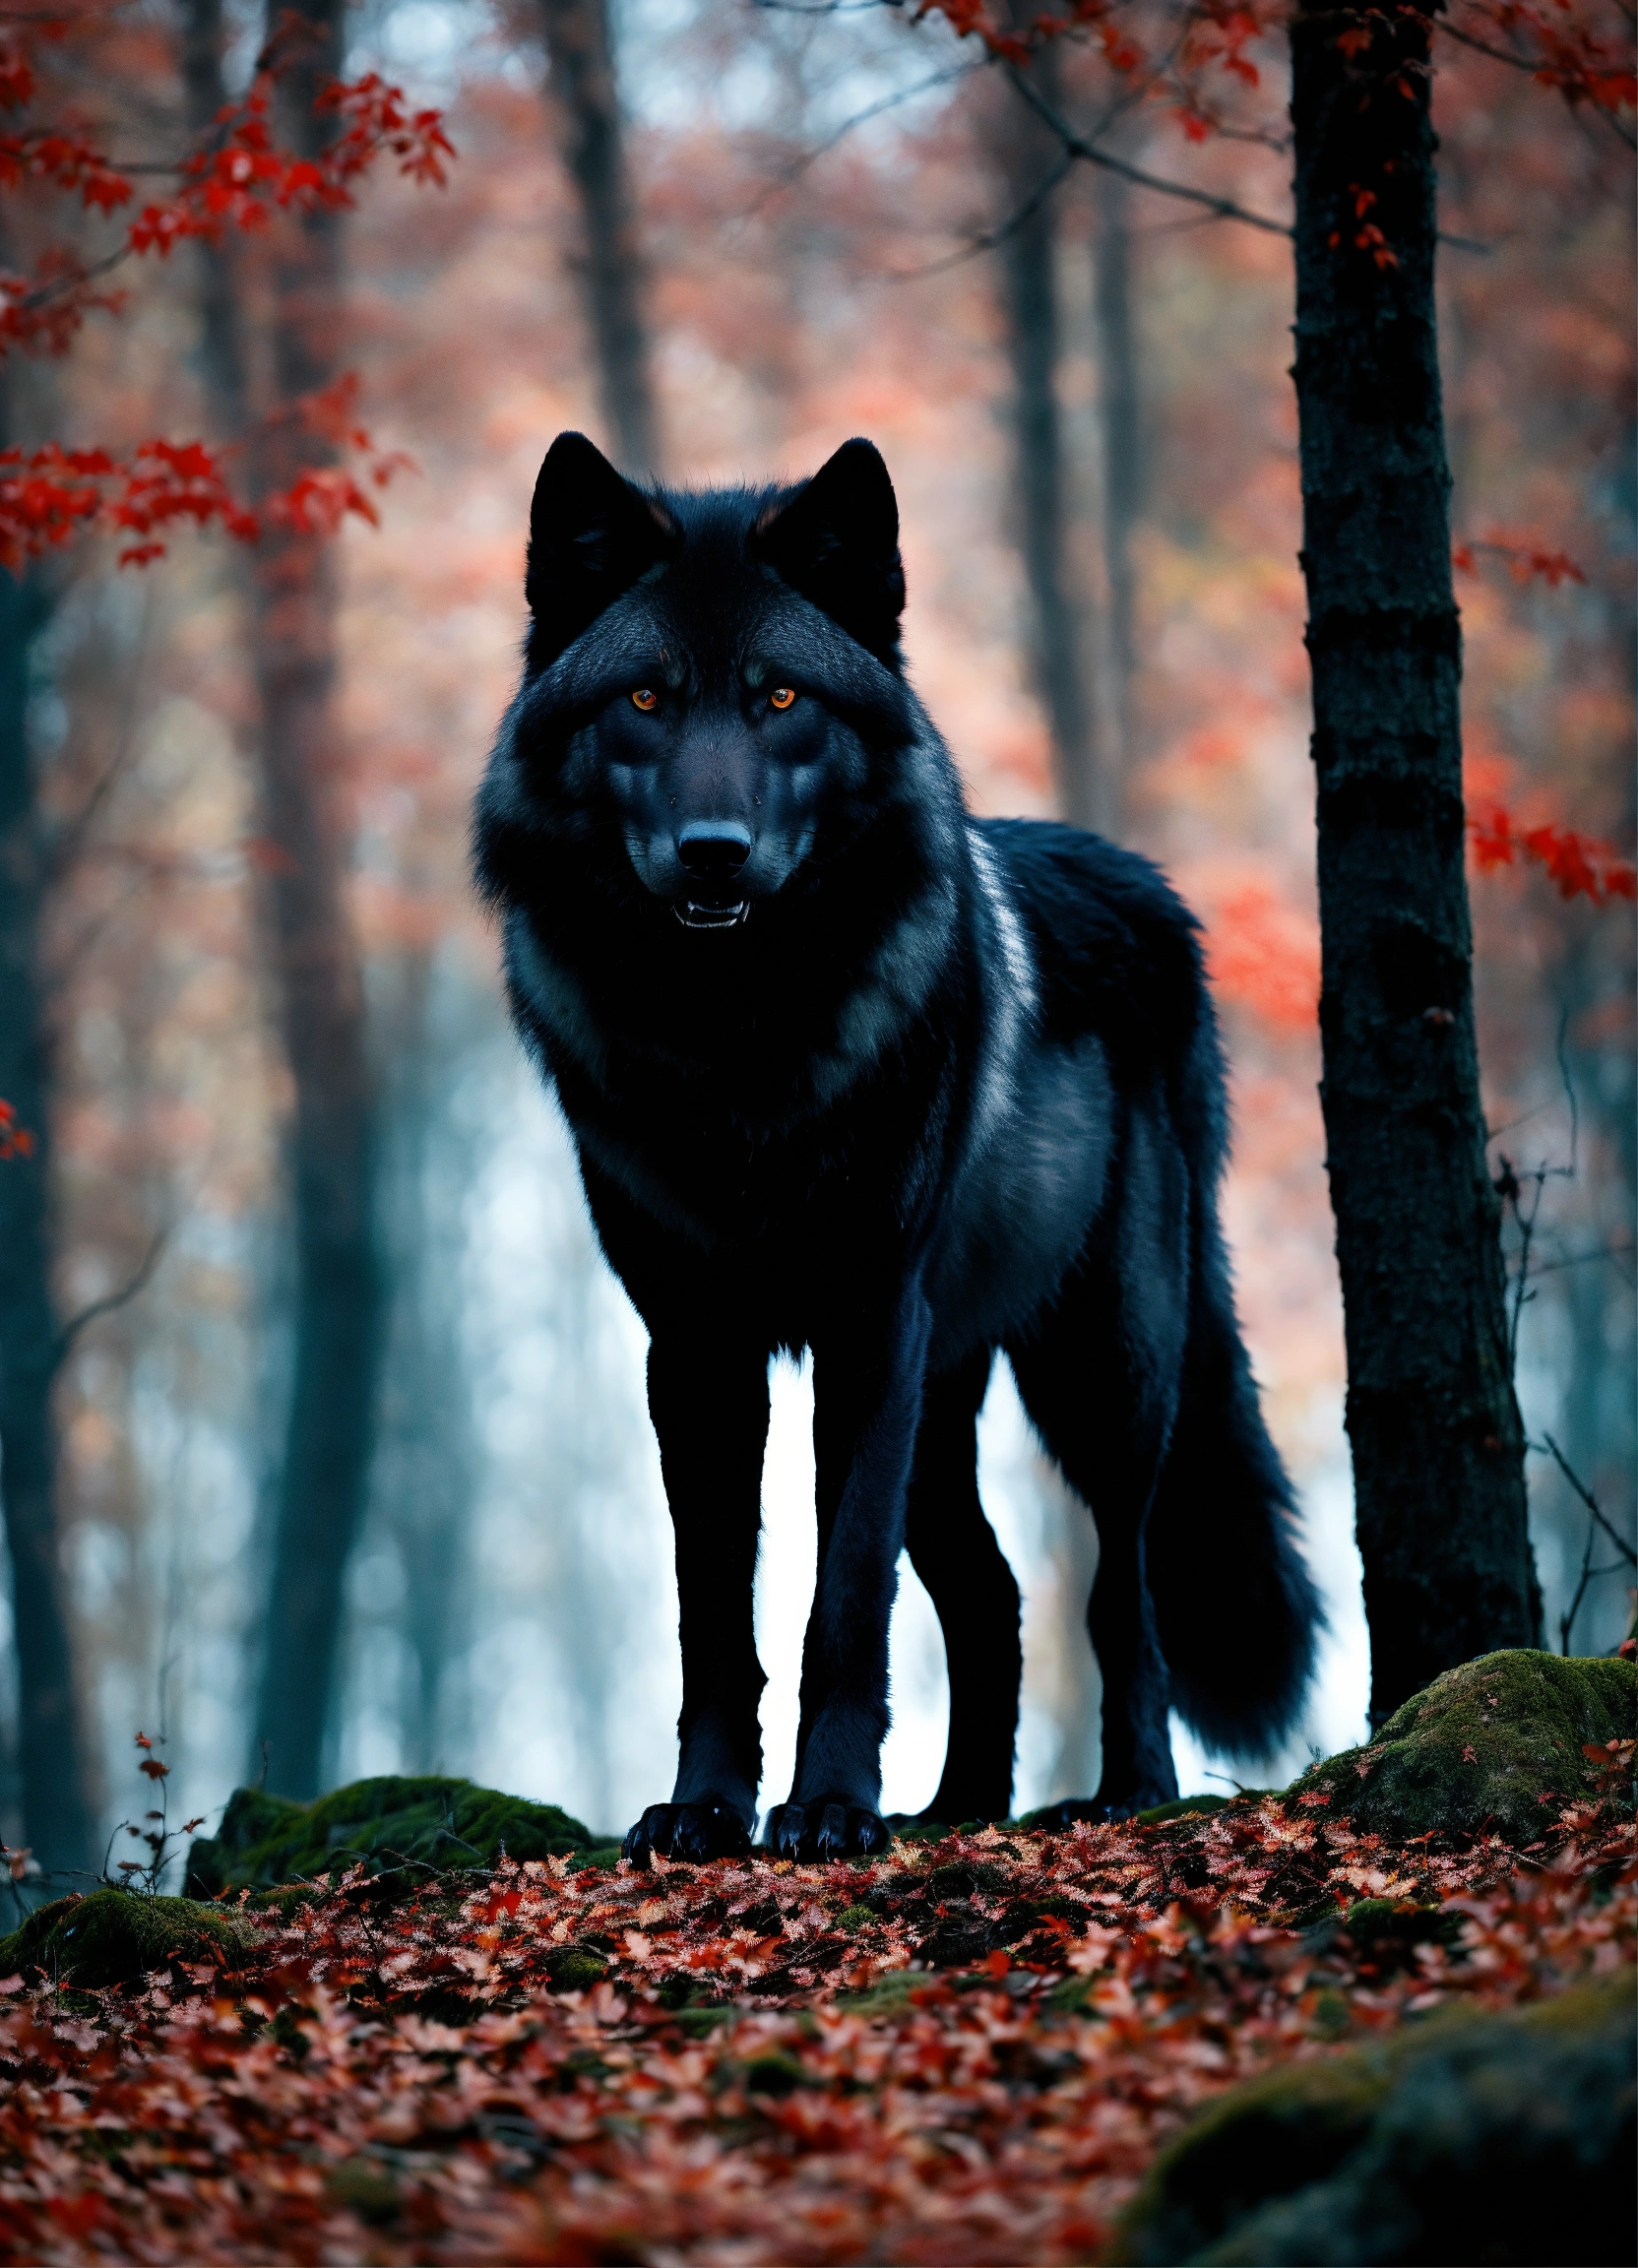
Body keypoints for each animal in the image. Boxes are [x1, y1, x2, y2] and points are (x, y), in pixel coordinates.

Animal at [474, 430, 1321, 1862]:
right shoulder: (695, 1347)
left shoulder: (868, 1326)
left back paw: (1129, 1792)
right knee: (992, 1594)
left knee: (1121, 1588)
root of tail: (1151, 889)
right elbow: (716, 1612)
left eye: (777, 699)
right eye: (645, 700)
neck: (735, 1044)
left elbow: (844, 1598)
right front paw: (708, 1810)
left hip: (1099, 1370)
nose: (712, 854)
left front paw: (824, 1811)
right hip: (946, 1397)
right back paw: (962, 1807)